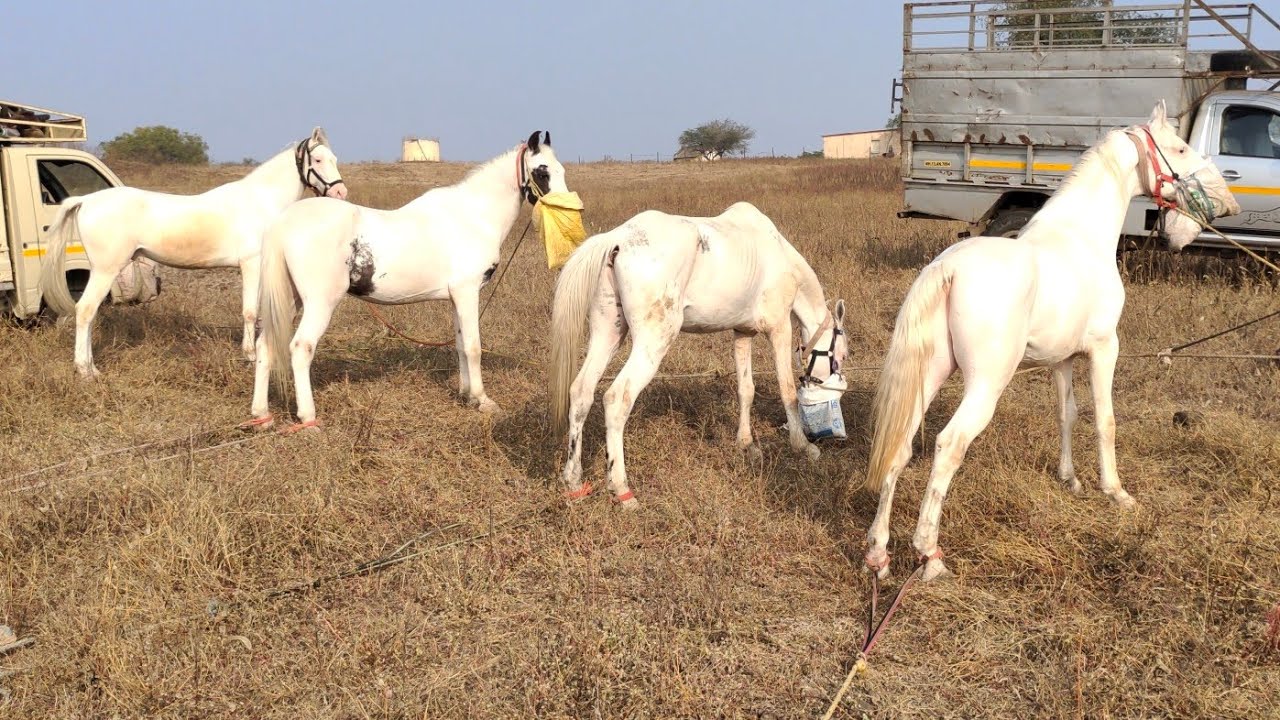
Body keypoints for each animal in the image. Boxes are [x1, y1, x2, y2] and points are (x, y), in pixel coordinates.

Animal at [39, 127, 346, 378]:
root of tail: (85, 200)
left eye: (335, 159)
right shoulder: (251, 264)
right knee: (85, 310)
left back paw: (89, 366)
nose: (341, 193)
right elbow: (250, 311)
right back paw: (86, 371)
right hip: (105, 270)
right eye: (318, 160)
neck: (261, 201)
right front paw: (249, 355)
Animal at [246, 131, 567, 431]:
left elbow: (460, 345)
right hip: (319, 303)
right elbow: (474, 347)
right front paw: (483, 400)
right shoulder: (468, 293)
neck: (473, 217)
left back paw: (262, 415)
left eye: (561, 169)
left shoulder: (456, 298)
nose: (568, 210)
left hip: (290, 300)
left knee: (265, 346)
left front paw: (466, 395)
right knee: (301, 347)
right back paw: (308, 418)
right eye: (542, 171)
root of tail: (282, 222)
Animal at [548, 202, 848, 507]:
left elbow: (746, 390)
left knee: (581, 392)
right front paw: (803, 446)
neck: (779, 254)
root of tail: (616, 240)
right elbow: (787, 391)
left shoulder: (742, 334)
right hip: (654, 340)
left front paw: (746, 444)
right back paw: (621, 489)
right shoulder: (779, 329)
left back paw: (573, 480)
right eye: (840, 357)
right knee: (617, 399)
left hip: (608, 332)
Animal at [863, 100, 1241, 582]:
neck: (1081, 236)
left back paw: (879, 554)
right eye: (1178, 148)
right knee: (949, 446)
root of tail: (947, 270)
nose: (1228, 200)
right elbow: (1104, 420)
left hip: (929, 375)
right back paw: (930, 554)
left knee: (901, 447)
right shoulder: (1104, 348)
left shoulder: (1062, 360)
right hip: (985, 385)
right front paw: (1116, 492)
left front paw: (1071, 480)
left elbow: (1067, 414)